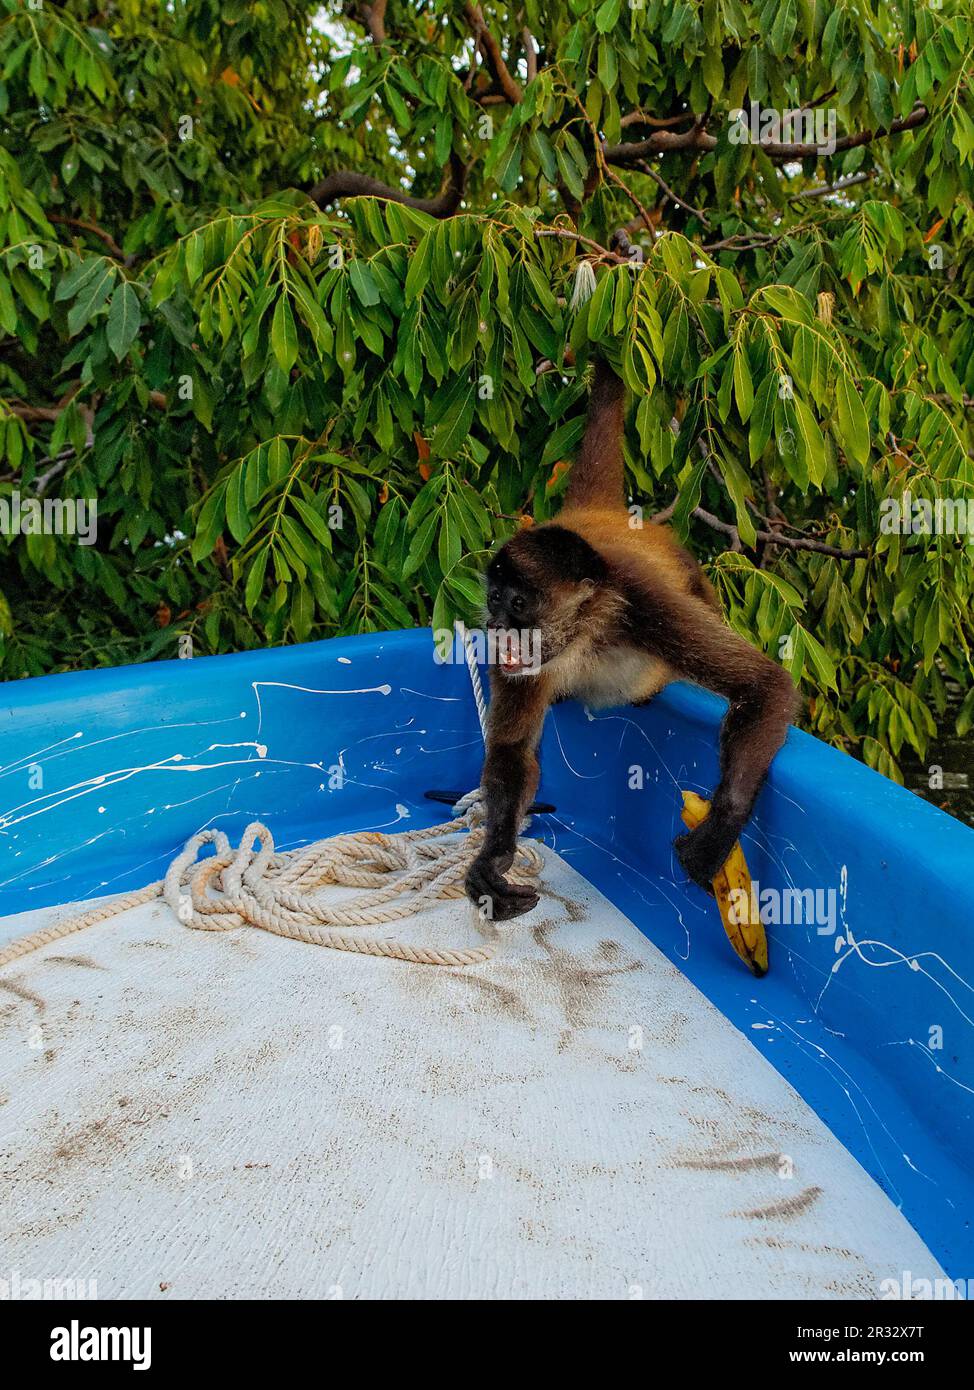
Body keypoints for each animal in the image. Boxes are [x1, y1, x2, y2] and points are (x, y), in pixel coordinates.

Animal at [464, 357, 799, 922]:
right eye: (492, 599)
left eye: (518, 605)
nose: (496, 629)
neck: (585, 631)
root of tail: (593, 519)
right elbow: (511, 749)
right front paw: (493, 859)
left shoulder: (641, 600)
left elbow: (766, 684)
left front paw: (715, 839)